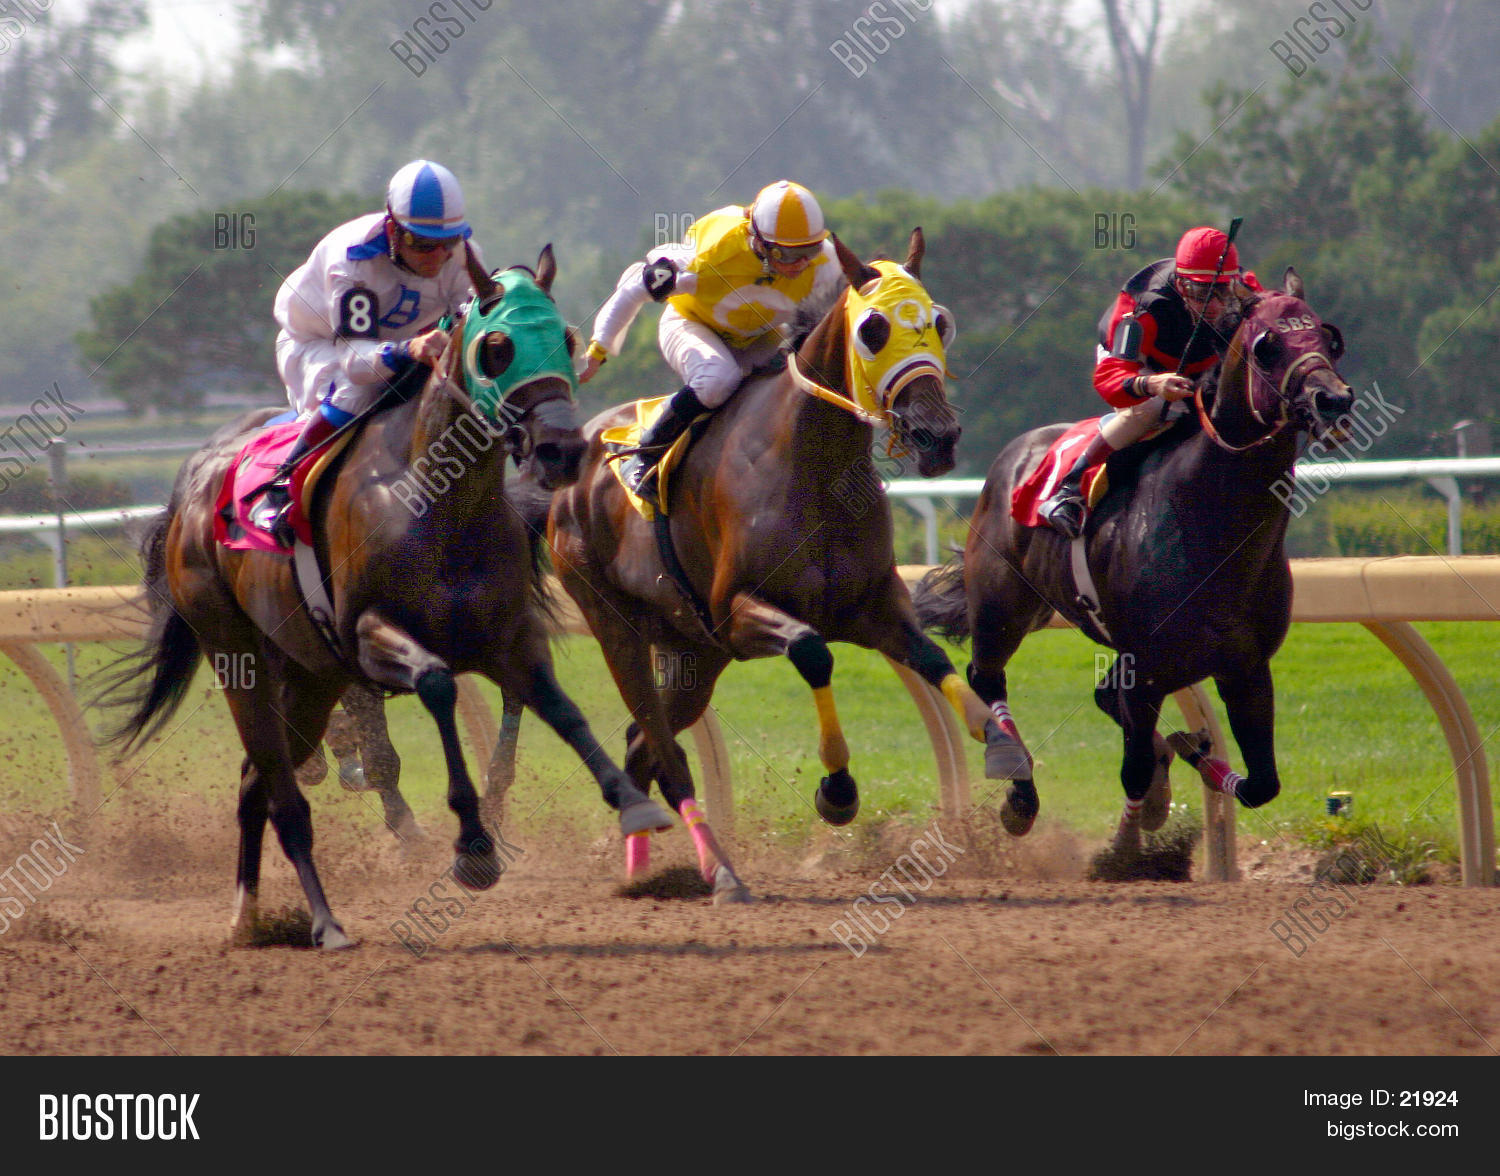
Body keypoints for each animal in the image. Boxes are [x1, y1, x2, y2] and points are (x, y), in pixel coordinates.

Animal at [96, 246, 673, 948]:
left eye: (565, 338)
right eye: (498, 347)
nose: (562, 451)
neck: (436, 499)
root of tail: (190, 492)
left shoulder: (509, 637)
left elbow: (561, 710)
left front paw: (633, 802)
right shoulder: (370, 637)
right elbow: (437, 685)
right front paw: (472, 844)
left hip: (311, 677)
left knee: (255, 783)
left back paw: (249, 918)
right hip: (239, 656)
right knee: (283, 793)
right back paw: (323, 922)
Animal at [547, 229, 1036, 900]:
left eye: (939, 322)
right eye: (873, 329)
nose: (938, 435)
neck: (813, 463)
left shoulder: (874, 605)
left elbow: (934, 660)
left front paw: (1008, 760)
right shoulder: (738, 612)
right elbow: (811, 650)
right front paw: (837, 788)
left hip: (694, 653)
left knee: (642, 744)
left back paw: (648, 868)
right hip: (616, 626)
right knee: (663, 750)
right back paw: (718, 873)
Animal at [913, 268, 1355, 855]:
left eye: (1328, 337)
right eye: (1268, 346)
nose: (1333, 399)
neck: (1209, 518)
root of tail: (1013, 457)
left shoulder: (1245, 665)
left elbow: (1261, 784)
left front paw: (1189, 754)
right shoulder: (1145, 667)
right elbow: (1135, 767)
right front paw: (1124, 846)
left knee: (1102, 697)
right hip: (1001, 610)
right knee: (986, 679)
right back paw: (1019, 792)